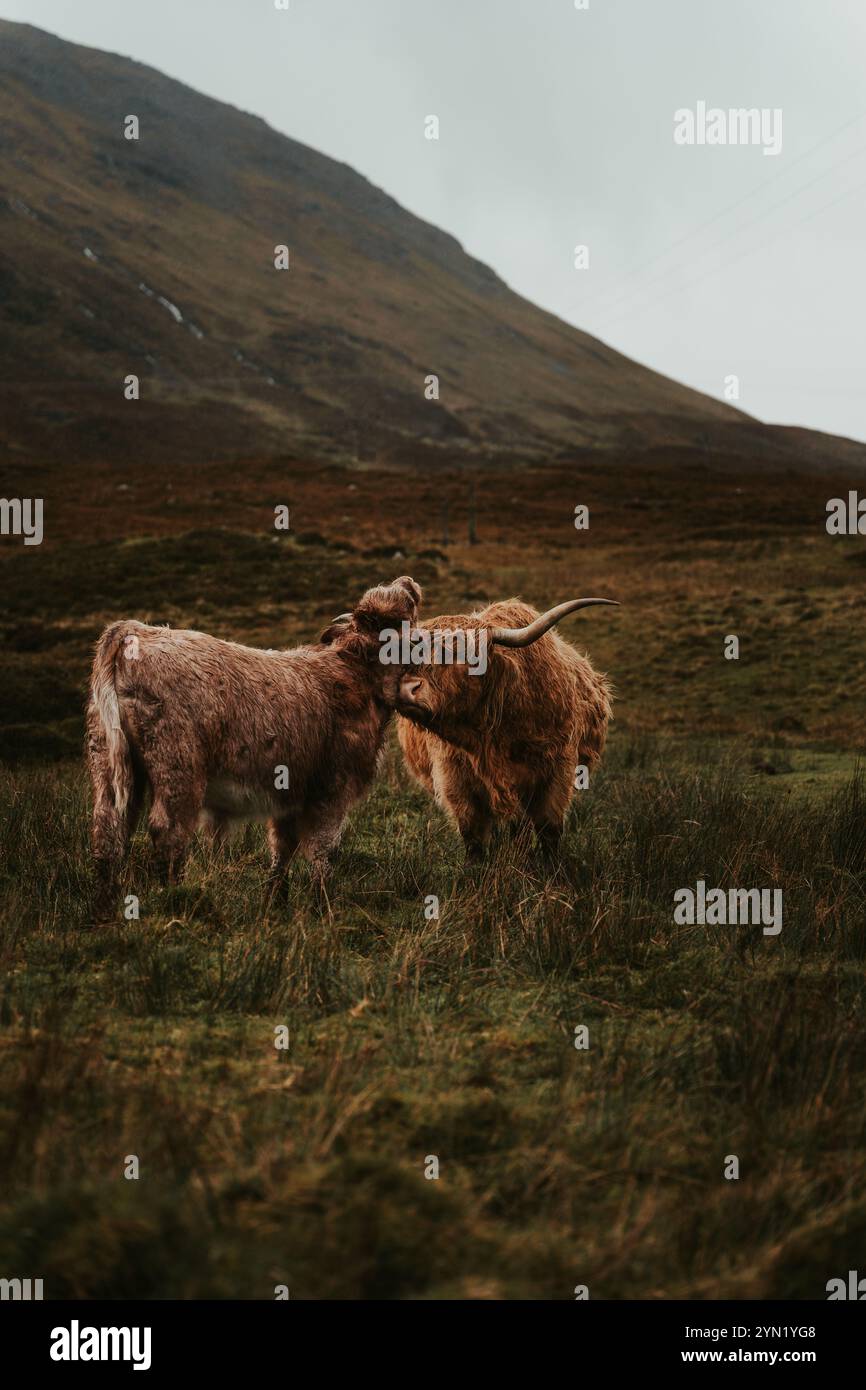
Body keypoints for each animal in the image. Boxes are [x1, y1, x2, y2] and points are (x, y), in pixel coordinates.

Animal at [86, 576, 422, 921]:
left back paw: (103, 910)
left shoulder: (292, 794)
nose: (407, 581)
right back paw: (175, 902)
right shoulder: (332, 791)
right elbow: (323, 850)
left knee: (109, 831)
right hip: (178, 769)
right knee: (168, 832)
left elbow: (282, 849)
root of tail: (136, 629)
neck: (353, 677)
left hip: (109, 764)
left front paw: (274, 903)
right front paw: (322, 908)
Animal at [396, 596, 616, 861]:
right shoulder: (454, 777)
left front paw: (551, 867)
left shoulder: (558, 771)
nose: (407, 688)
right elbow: (472, 832)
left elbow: (548, 828)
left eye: (461, 653)